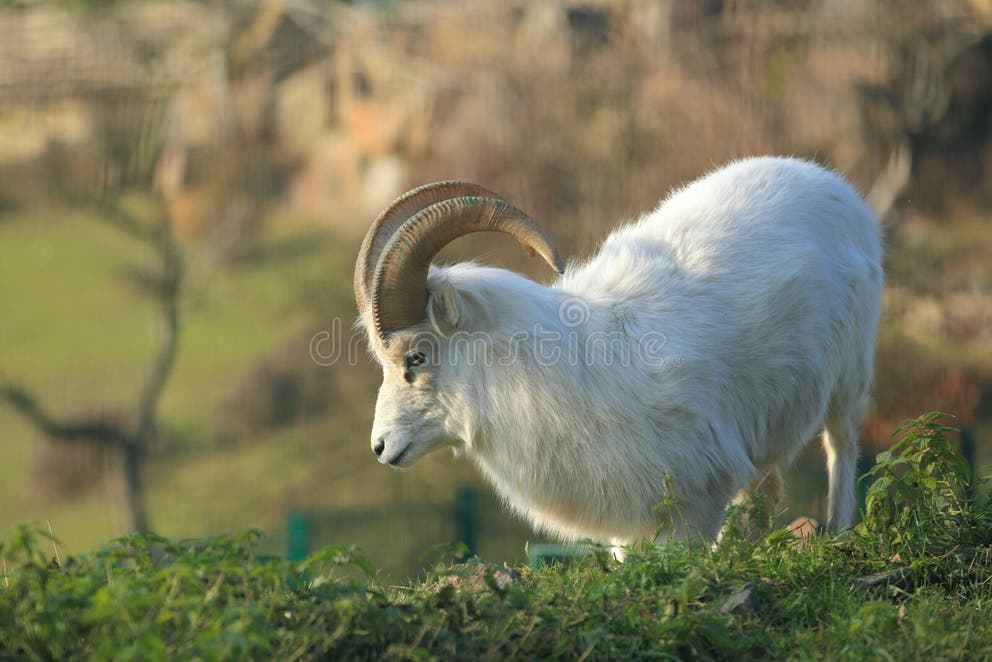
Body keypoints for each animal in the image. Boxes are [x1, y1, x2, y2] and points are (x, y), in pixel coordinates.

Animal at [354, 157, 883, 547]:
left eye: (417, 358)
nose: (380, 448)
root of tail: (832, 187)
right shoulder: (628, 526)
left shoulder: (690, 511)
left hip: (850, 378)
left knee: (842, 445)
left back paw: (839, 531)